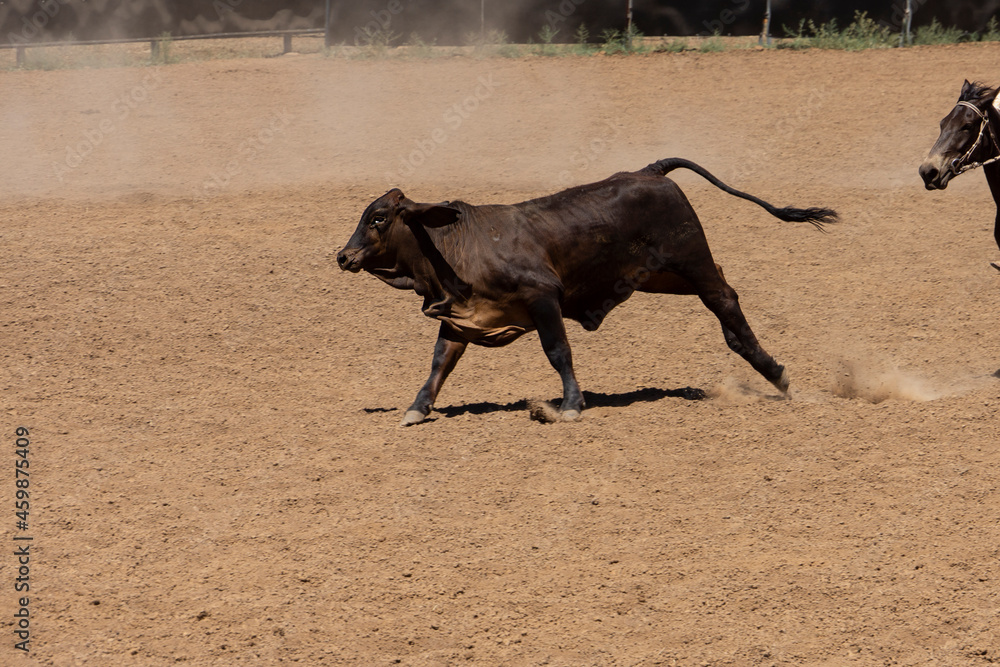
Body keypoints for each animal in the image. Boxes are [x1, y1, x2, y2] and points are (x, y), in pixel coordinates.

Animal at [337, 158, 837, 425]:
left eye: (378, 217)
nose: (343, 256)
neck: (455, 246)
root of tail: (651, 171)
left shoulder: (543, 299)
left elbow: (559, 351)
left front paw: (569, 406)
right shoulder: (461, 315)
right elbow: (440, 363)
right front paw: (416, 409)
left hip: (690, 259)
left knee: (725, 302)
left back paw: (778, 375)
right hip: (664, 277)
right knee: (727, 297)